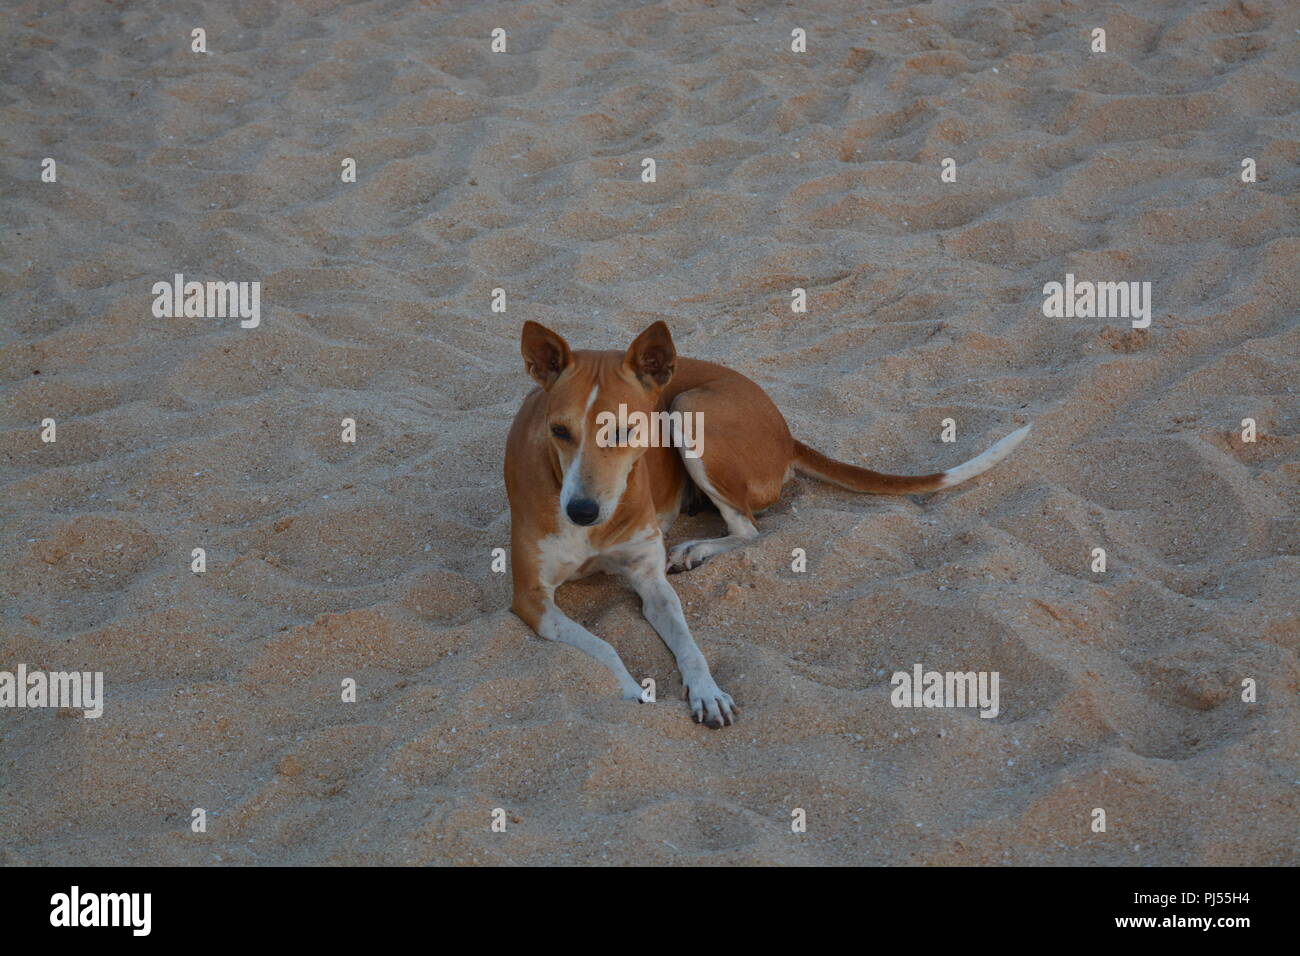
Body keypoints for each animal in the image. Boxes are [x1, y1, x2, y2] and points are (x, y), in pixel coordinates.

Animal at [501, 317, 1029, 728]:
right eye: (559, 431)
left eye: (626, 430)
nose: (581, 511)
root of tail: (786, 432)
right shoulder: (531, 597)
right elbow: (602, 645)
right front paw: (633, 687)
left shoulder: (650, 582)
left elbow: (690, 645)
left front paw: (707, 691)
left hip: (689, 410)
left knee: (750, 528)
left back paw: (694, 548)